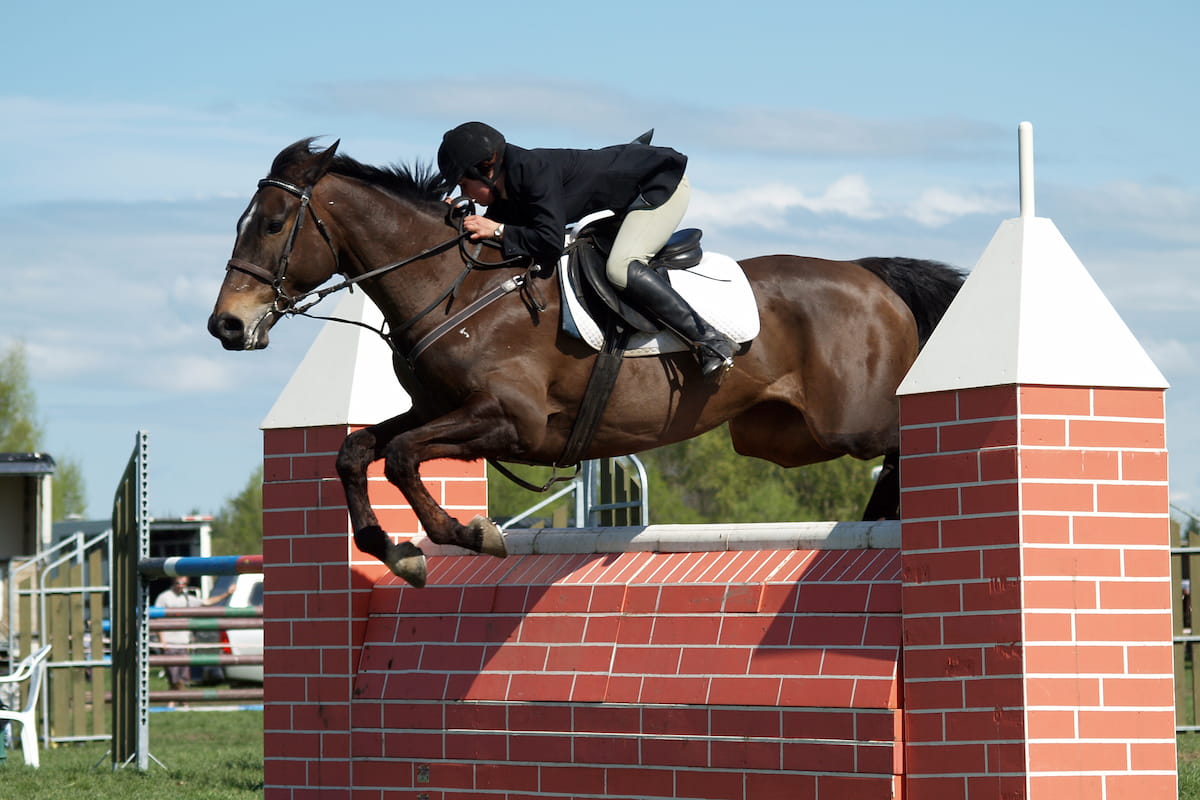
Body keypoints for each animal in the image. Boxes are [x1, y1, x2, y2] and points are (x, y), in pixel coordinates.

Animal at [208, 138, 963, 587]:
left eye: (271, 224)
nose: (227, 325)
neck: (456, 287)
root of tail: (872, 276)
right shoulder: (437, 409)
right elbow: (357, 450)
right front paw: (395, 550)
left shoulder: (508, 421)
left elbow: (398, 458)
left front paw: (464, 534)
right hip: (782, 436)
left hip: (851, 422)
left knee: (899, 445)